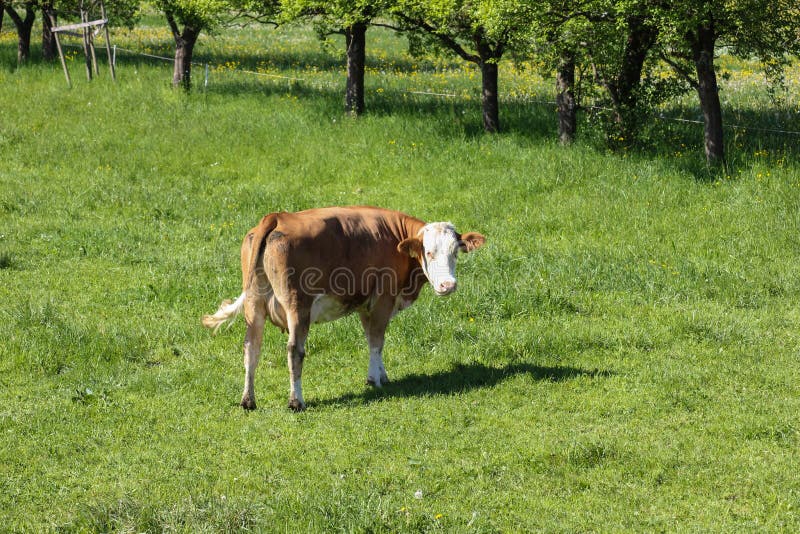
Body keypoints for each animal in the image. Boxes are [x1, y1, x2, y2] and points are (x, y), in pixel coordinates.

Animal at [202, 206, 485, 411]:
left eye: (455, 253)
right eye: (428, 252)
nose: (448, 285)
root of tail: (277, 217)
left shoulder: (364, 303)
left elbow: (371, 337)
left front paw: (381, 375)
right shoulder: (383, 297)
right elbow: (377, 340)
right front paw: (374, 380)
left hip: (254, 304)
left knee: (251, 348)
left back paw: (248, 400)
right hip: (298, 305)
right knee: (294, 350)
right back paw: (296, 401)